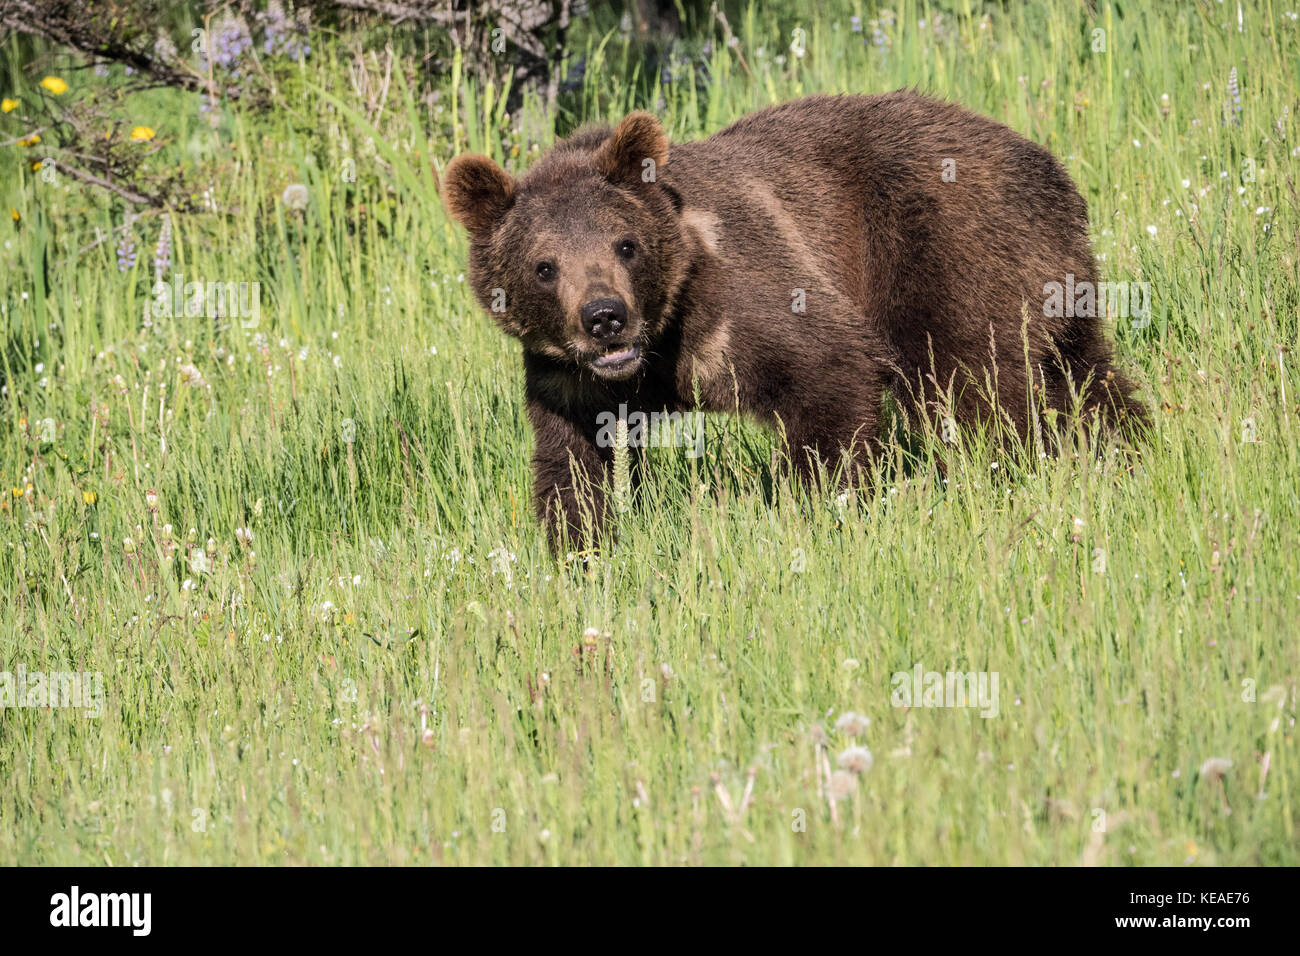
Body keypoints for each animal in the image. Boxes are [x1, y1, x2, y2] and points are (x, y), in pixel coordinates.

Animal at [441, 91, 1148, 550]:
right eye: (544, 266)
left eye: (625, 244)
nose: (605, 317)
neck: (662, 339)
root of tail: (1046, 166)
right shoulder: (565, 376)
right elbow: (569, 459)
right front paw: (580, 548)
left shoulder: (741, 291)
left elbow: (825, 372)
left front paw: (821, 507)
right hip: (1055, 283)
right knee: (1084, 375)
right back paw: (1125, 448)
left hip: (948, 253)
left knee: (975, 388)